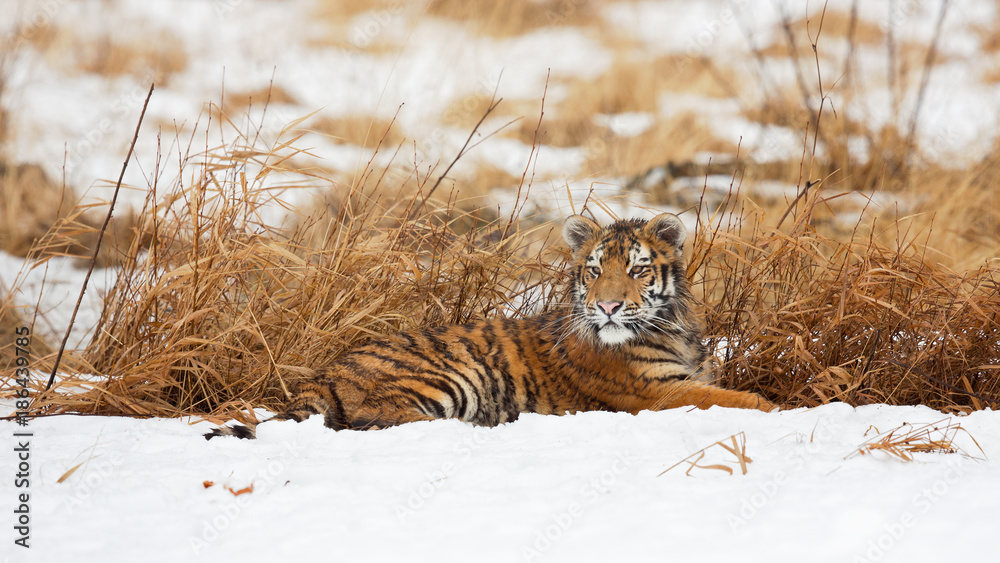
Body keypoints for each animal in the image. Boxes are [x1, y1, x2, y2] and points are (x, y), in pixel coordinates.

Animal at [205, 212, 774, 440]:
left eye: (636, 269)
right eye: (594, 270)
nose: (610, 307)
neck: (672, 327)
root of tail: (323, 373)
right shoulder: (658, 394)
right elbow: (747, 401)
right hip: (443, 376)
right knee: (375, 421)